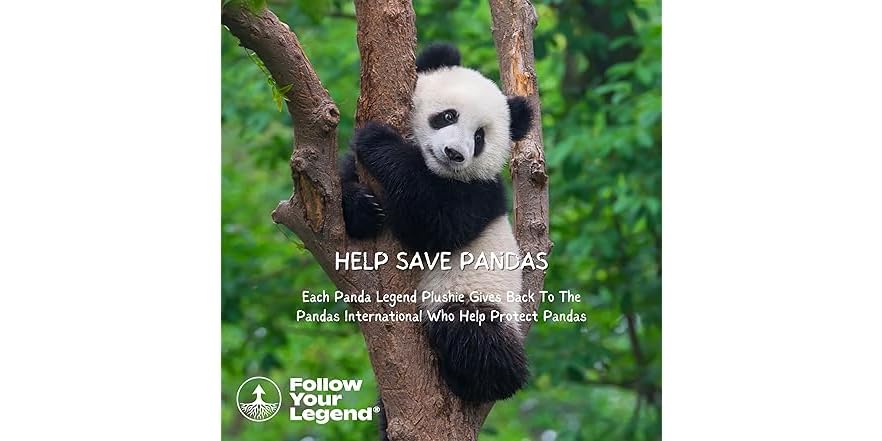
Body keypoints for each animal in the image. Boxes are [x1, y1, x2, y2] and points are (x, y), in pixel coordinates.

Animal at [339, 43, 534, 407]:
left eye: (479, 137)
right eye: (448, 116)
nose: (455, 153)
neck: (436, 170)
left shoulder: (480, 194)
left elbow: (434, 223)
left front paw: (378, 141)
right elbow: (341, 189)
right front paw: (363, 208)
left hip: (475, 296)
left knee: (474, 335)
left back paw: (477, 380)